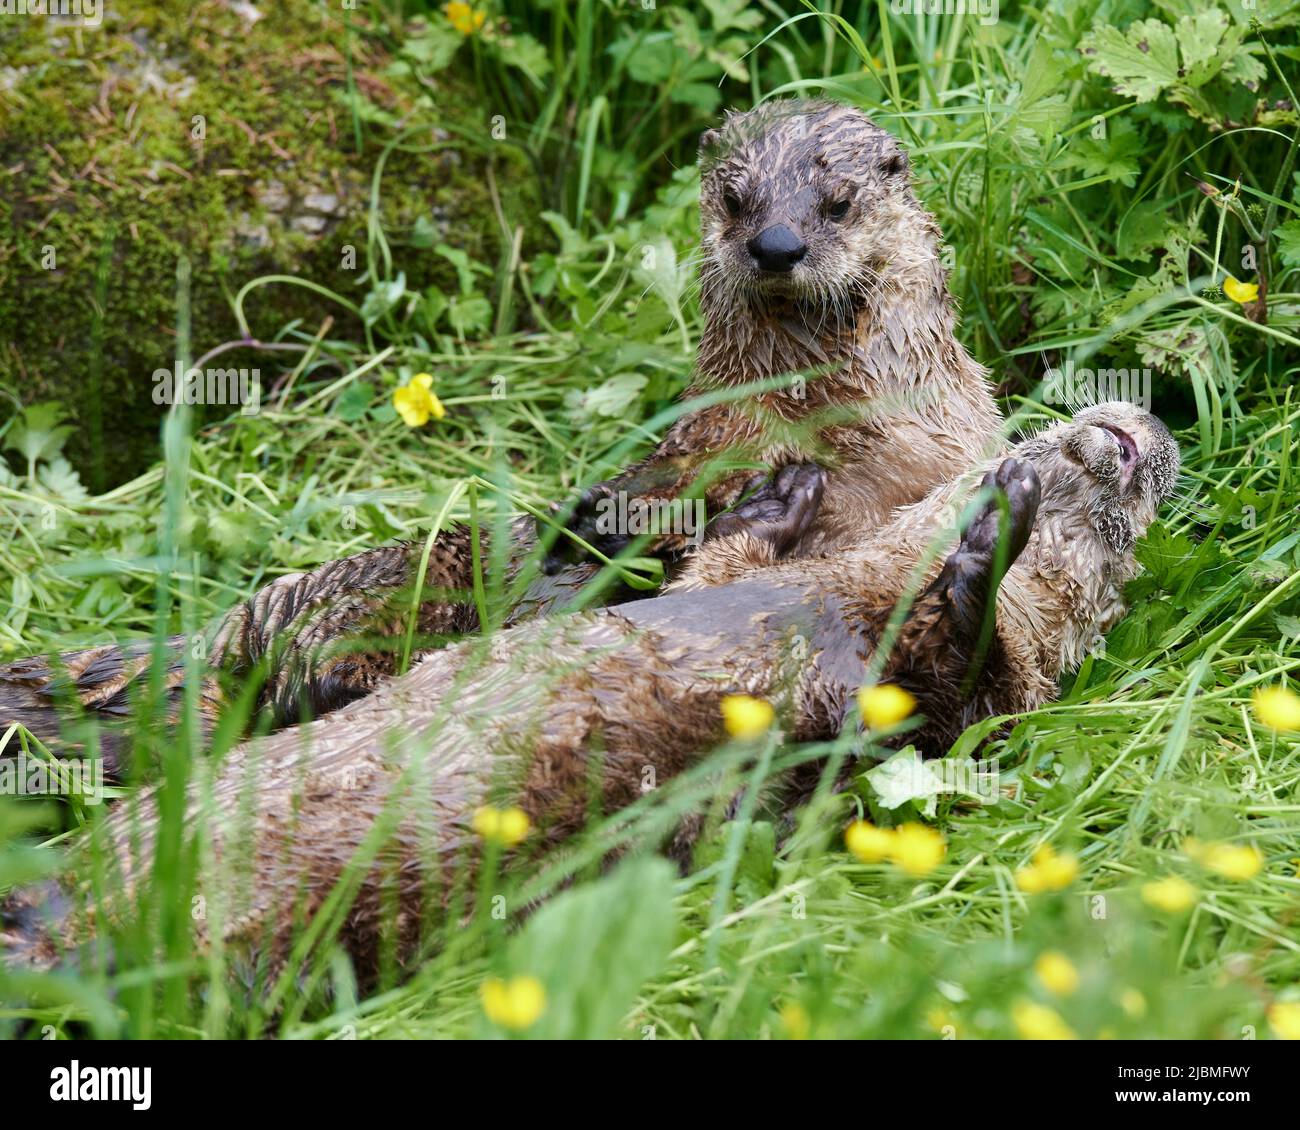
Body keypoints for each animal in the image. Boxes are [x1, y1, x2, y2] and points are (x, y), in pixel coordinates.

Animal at [0, 98, 1005, 758]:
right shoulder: (711, 436)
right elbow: (658, 489)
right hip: (364, 608)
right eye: (736, 199)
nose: (777, 245)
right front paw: (617, 518)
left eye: (836, 203)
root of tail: (241, 626)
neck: (831, 434)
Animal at [2, 404, 1179, 982]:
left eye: (1113, 556)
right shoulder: (735, 585)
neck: (850, 593)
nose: (1148, 443)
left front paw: (995, 533)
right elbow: (717, 558)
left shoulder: (925, 705)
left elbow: (957, 682)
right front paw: (783, 493)